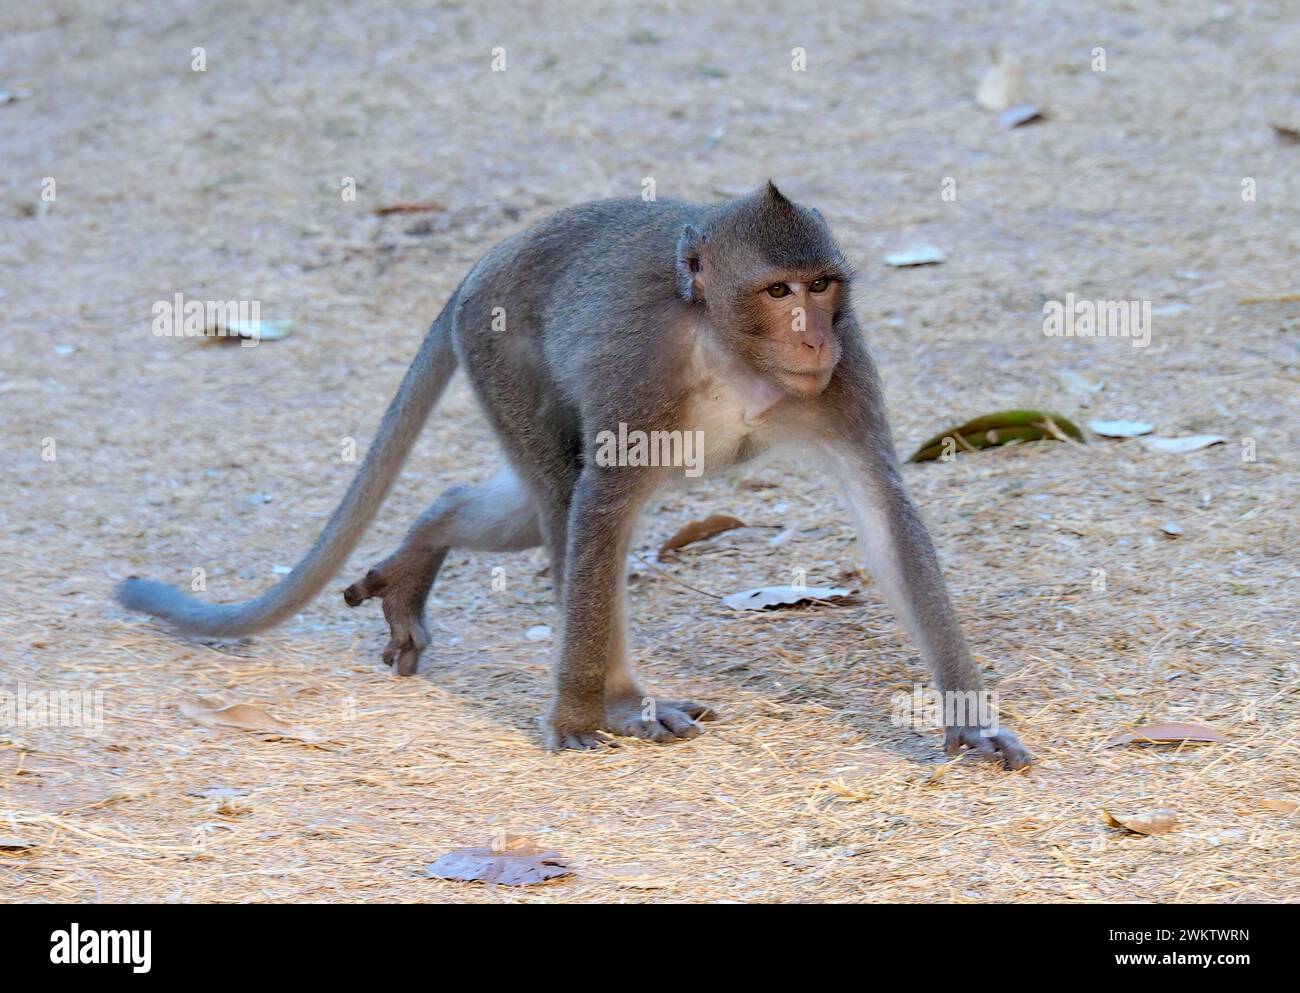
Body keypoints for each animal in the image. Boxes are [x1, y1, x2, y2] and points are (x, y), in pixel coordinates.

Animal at [117, 182, 1031, 769]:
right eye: (778, 291)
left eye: (822, 284)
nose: (814, 335)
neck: (726, 347)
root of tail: (479, 266)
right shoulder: (642, 369)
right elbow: (601, 506)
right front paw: (584, 714)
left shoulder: (846, 372)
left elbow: (883, 513)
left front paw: (968, 720)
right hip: (499, 352)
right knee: (565, 497)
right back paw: (619, 697)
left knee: (528, 504)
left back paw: (425, 541)